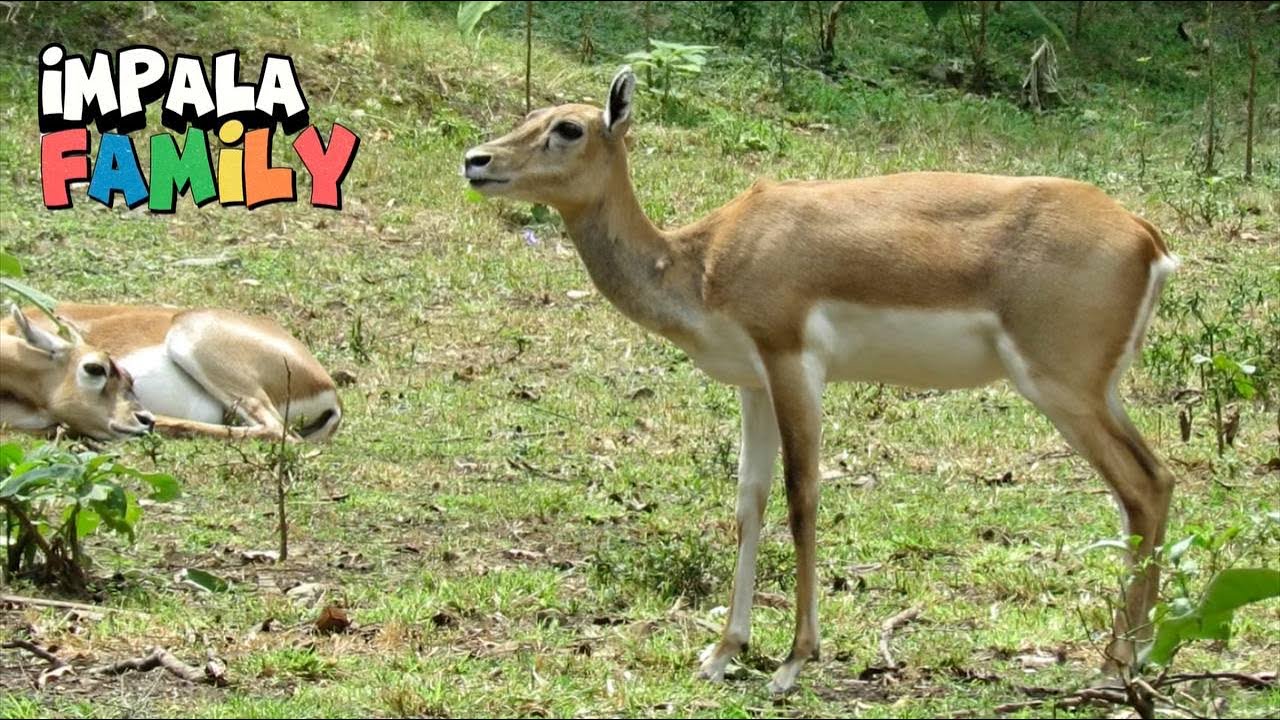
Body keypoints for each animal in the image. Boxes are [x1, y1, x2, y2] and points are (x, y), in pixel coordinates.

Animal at [464, 67, 1179, 693]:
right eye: (531, 115)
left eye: (568, 128)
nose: (477, 160)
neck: (701, 261)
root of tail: (1147, 238)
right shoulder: (752, 384)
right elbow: (748, 501)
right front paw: (723, 652)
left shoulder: (793, 364)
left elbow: (801, 495)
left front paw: (793, 662)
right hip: (1099, 391)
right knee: (1161, 478)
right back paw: (1142, 653)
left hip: (1060, 388)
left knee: (1139, 488)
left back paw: (1114, 664)